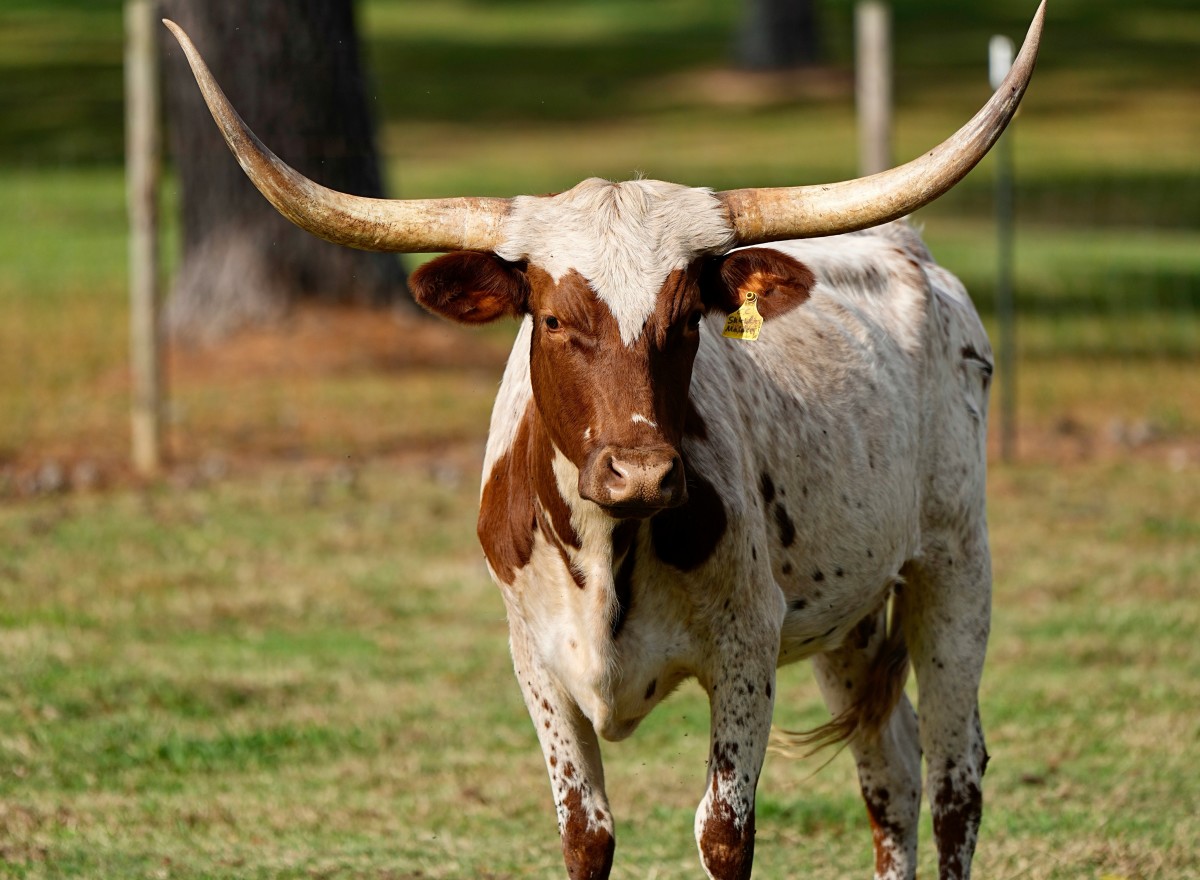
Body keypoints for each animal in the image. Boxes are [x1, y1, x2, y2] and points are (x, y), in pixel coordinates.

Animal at [165, 5, 1044, 878]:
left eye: (688, 318)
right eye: (554, 319)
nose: (642, 474)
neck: (608, 546)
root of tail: (914, 252)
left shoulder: (746, 648)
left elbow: (723, 833)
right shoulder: (537, 663)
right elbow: (586, 834)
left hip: (954, 566)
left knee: (954, 776)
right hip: (850, 611)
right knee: (888, 767)